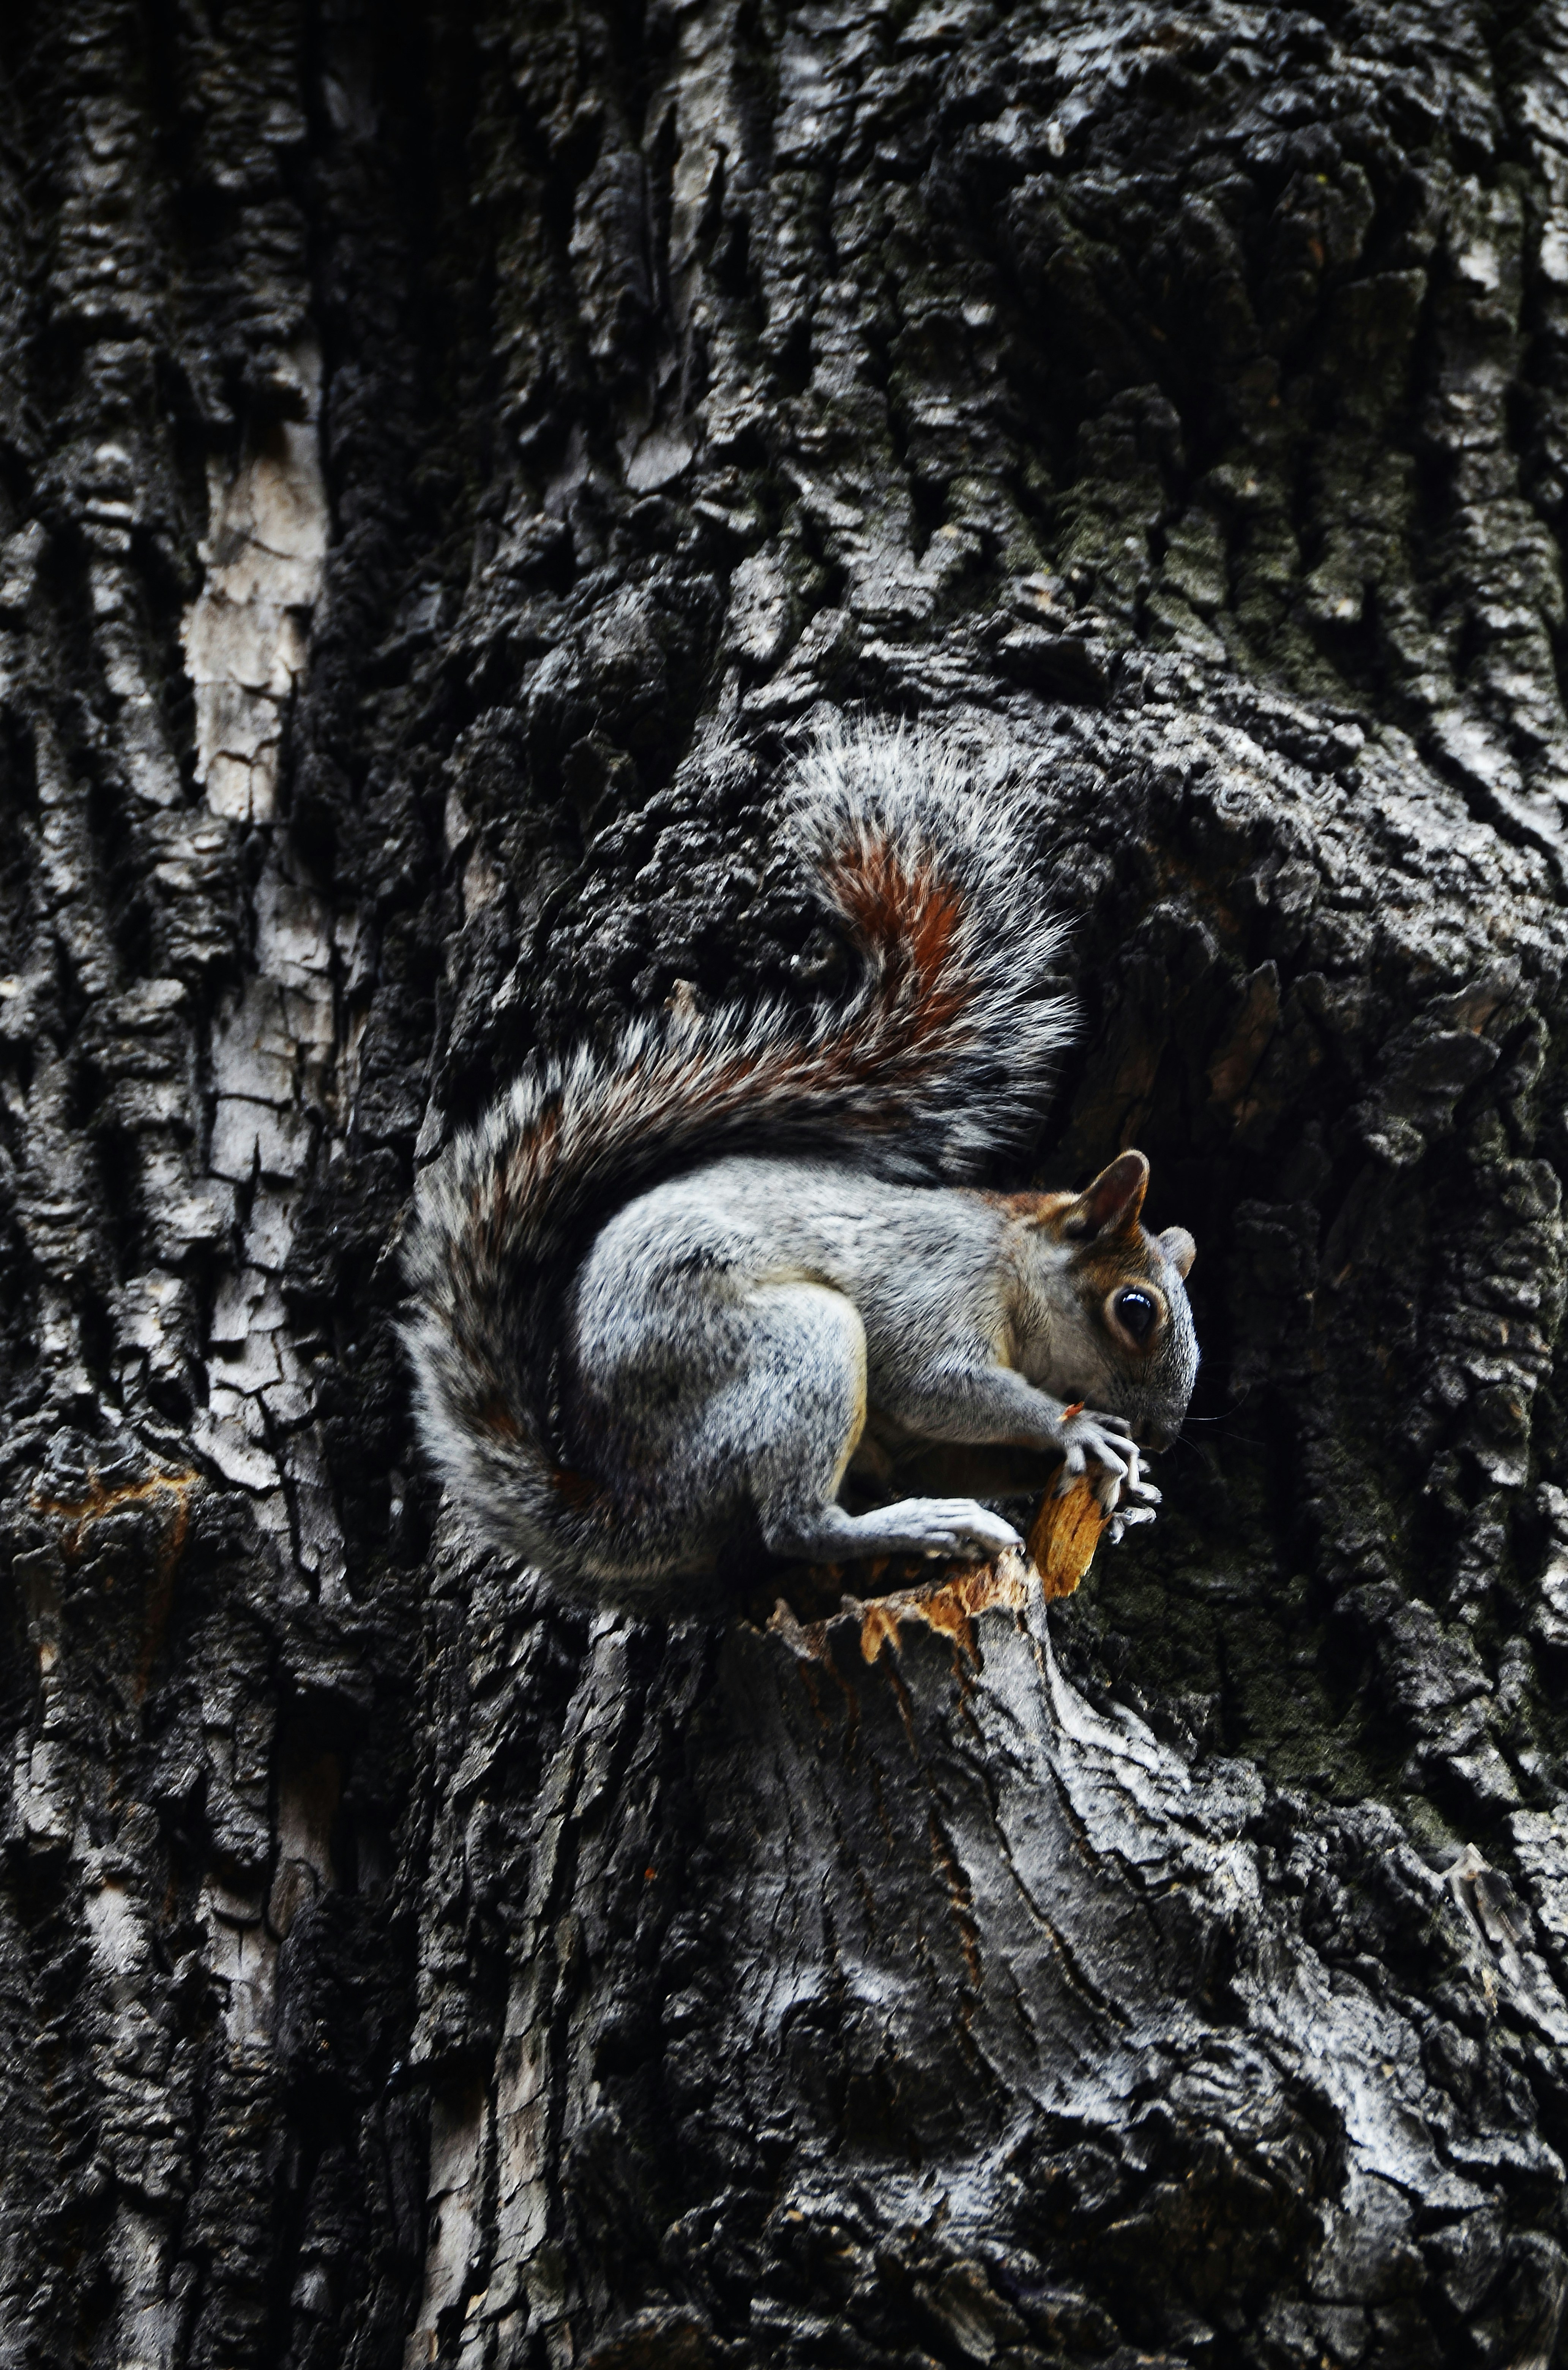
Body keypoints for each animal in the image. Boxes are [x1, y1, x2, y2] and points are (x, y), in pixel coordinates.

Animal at [404, 719, 1199, 1612]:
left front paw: (1128, 1491)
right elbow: (940, 1382)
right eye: (1135, 1309)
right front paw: (1078, 1427)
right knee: (796, 1524)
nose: (1165, 1433)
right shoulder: (938, 1286)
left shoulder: (921, 1432)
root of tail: (634, 1505)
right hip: (791, 1349)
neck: (1010, 1260)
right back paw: (924, 1523)